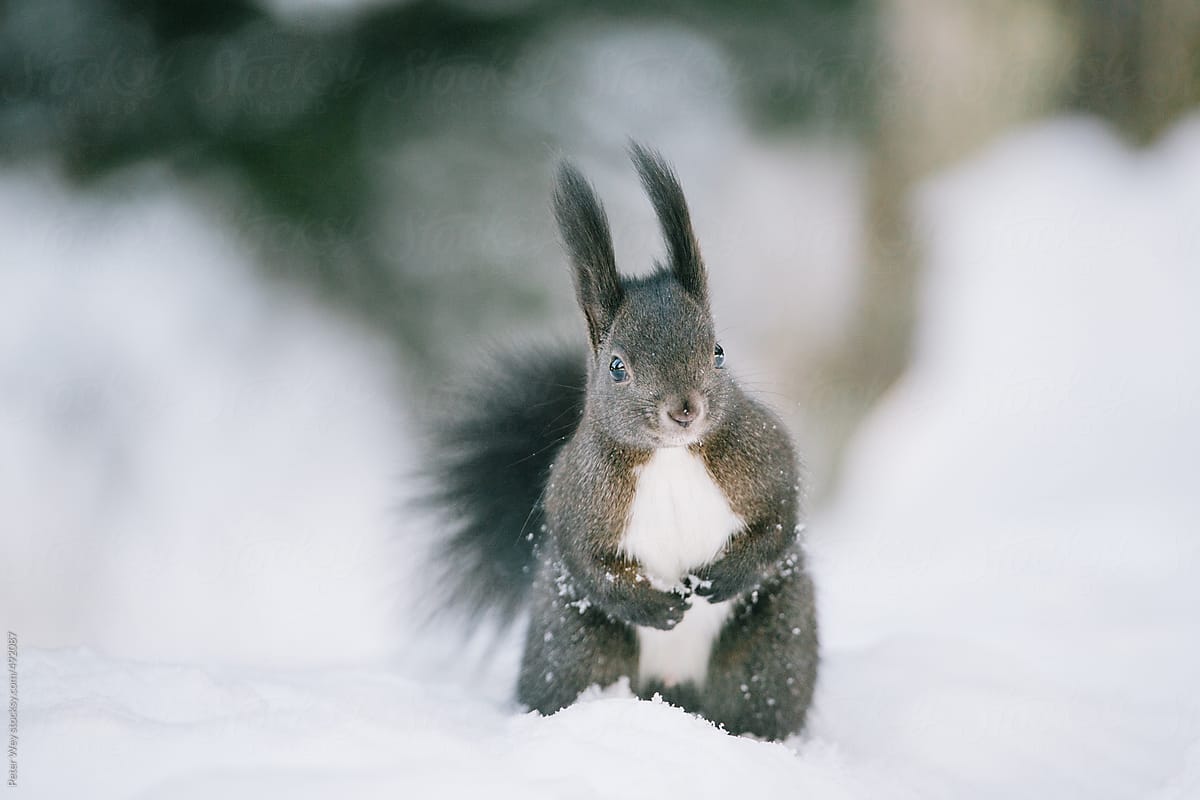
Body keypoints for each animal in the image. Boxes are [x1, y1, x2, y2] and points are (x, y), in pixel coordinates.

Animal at [428, 144, 818, 741]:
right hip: (574, 648)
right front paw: (658, 608)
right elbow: (588, 562)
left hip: (773, 651)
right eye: (617, 367)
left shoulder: (765, 457)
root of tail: (674, 692)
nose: (685, 410)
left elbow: (780, 518)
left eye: (718, 351)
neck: (672, 456)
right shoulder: (575, 495)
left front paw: (719, 578)